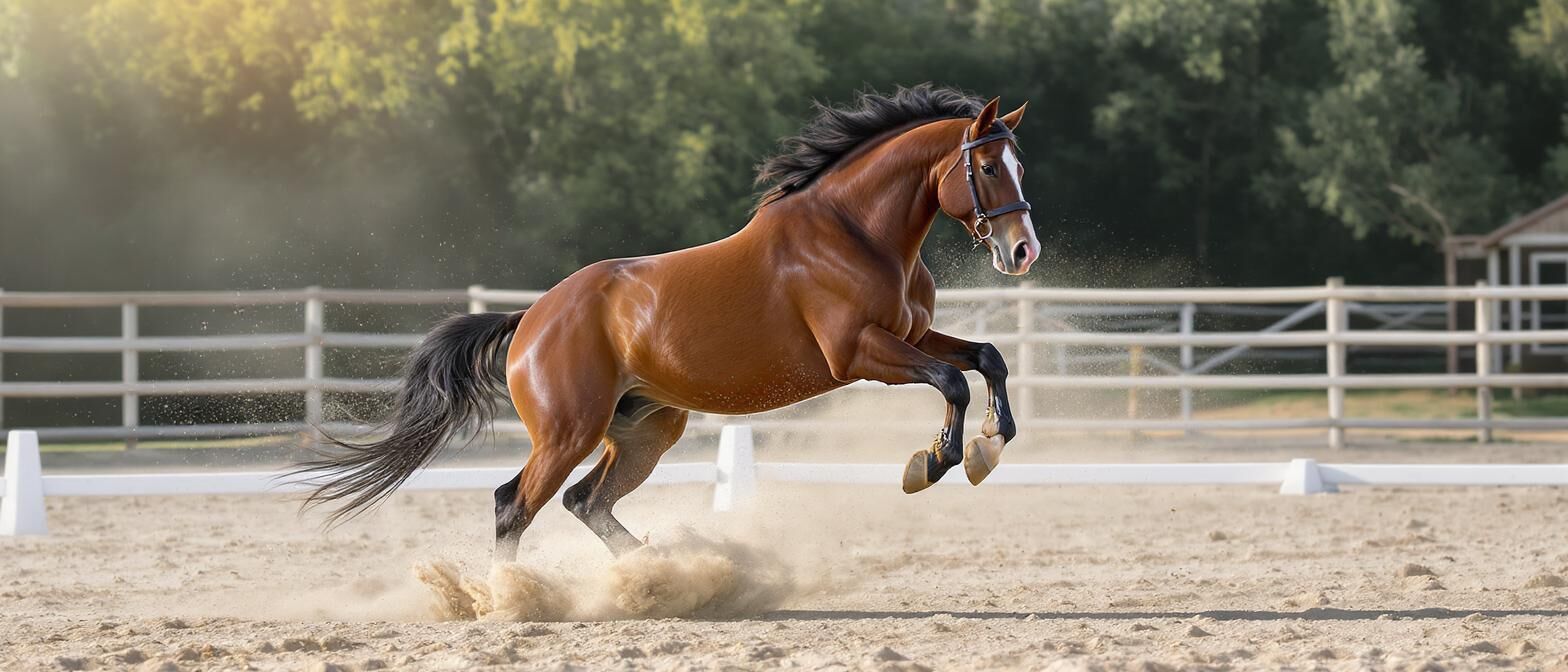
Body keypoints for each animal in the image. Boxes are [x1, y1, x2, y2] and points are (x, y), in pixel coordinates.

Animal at [295, 85, 1039, 561]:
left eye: (1019, 164)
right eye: (987, 165)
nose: (1023, 251)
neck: (855, 231)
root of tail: (533, 318)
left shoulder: (908, 337)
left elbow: (987, 358)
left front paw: (990, 445)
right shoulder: (858, 353)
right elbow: (951, 380)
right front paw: (935, 462)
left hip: (645, 429)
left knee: (584, 503)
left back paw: (653, 575)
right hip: (568, 432)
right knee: (516, 503)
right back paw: (514, 601)